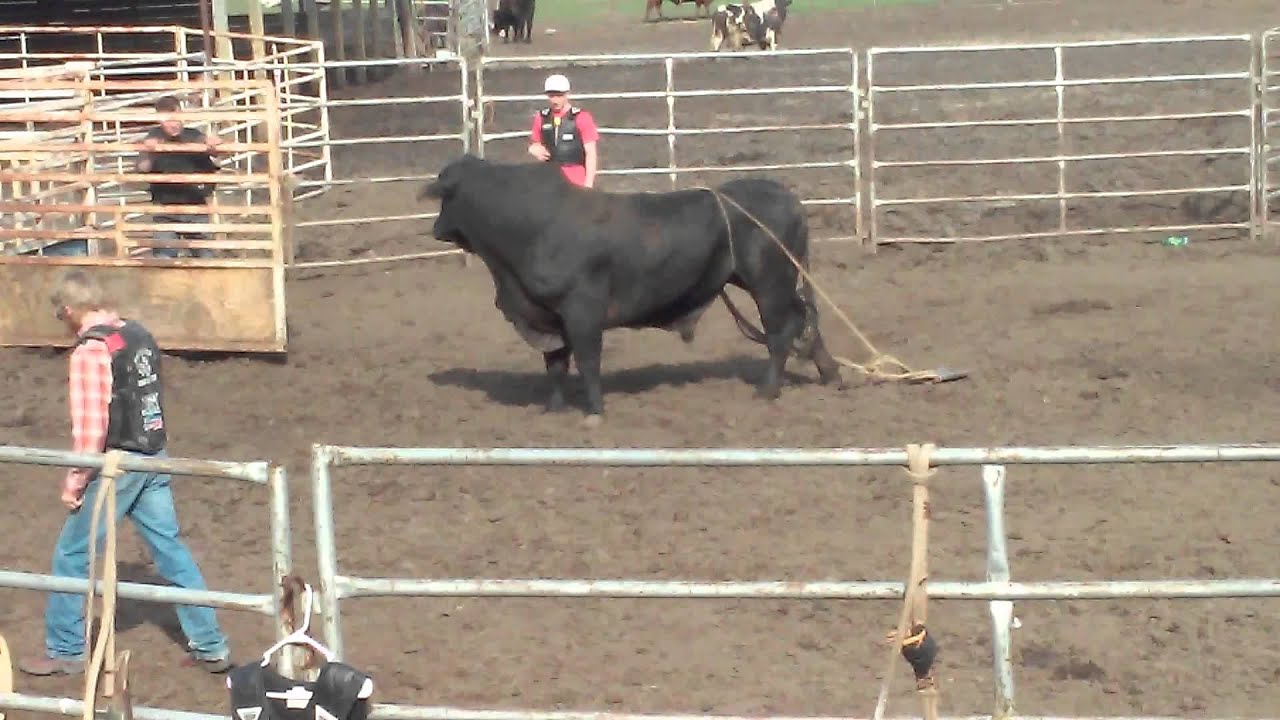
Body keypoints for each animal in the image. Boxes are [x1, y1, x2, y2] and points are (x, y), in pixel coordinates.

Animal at [419, 154, 845, 426]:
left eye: (444, 196)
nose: (436, 229)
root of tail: (790, 198)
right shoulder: (548, 316)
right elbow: (555, 365)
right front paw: (554, 409)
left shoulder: (582, 312)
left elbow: (588, 362)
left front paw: (594, 412)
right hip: (781, 283)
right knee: (807, 319)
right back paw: (831, 375)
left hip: (769, 285)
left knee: (782, 332)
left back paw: (767, 390)